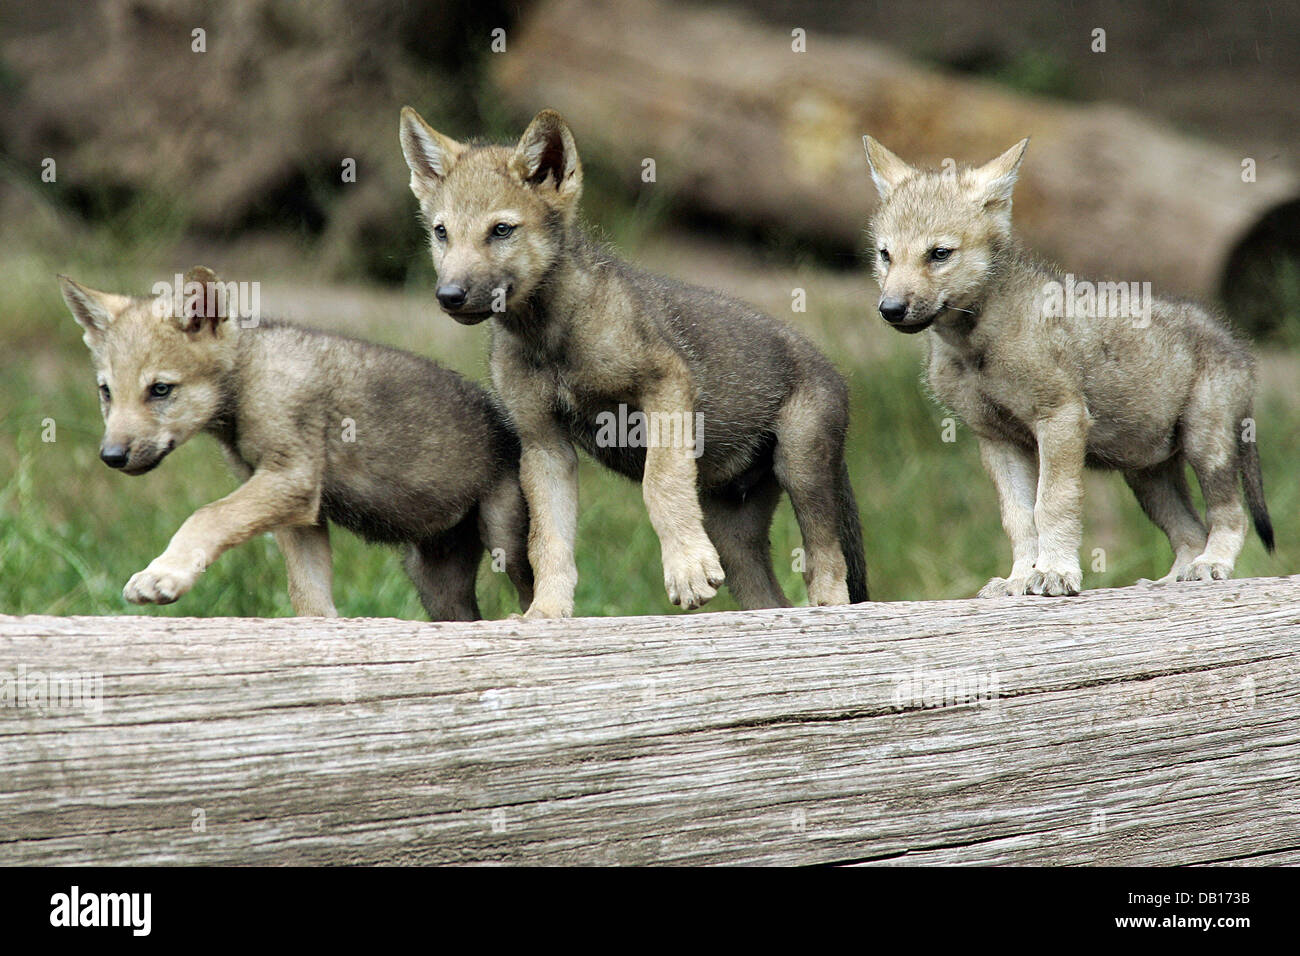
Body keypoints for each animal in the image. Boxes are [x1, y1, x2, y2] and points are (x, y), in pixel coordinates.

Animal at [59, 267, 532, 619]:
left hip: (504, 539)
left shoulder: (291, 479)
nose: (111, 456)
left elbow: (207, 516)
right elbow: (308, 591)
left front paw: (162, 575)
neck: (247, 377)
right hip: (434, 579)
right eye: (106, 392)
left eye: (160, 390)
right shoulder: (298, 512)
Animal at [399, 106, 869, 617]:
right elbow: (548, 541)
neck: (551, 337)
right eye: (441, 232)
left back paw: (829, 610)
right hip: (734, 534)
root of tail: (834, 370)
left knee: (827, 560)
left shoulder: (665, 384)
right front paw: (545, 611)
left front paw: (686, 570)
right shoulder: (544, 444)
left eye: (501, 230)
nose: (448, 295)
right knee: (773, 598)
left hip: (802, 468)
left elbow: (658, 483)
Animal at [862, 135, 1273, 596]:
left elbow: (1052, 504)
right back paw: (1171, 579)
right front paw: (1018, 579)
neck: (973, 343)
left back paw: (1211, 564)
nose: (890, 309)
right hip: (1148, 472)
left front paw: (1055, 573)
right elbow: (1019, 518)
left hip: (1208, 443)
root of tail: (1236, 343)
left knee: (1230, 515)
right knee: (1190, 530)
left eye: (939, 254)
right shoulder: (997, 439)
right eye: (885, 255)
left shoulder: (1060, 418)